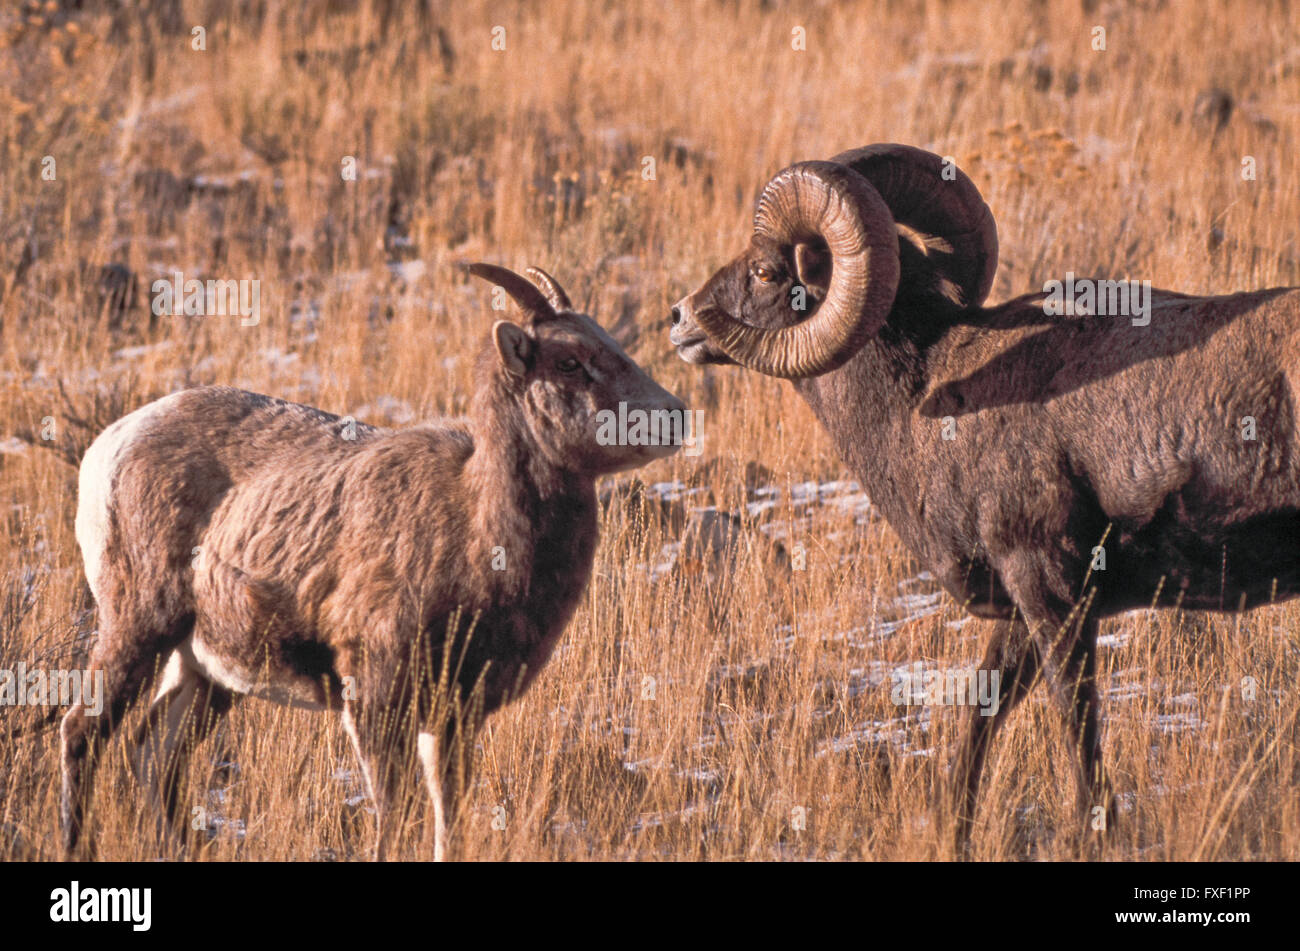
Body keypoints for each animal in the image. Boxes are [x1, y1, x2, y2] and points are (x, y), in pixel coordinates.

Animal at [60, 263, 686, 861]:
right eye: (570, 361)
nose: (674, 416)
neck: (474, 531)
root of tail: (106, 447)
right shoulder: (375, 701)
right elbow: (396, 822)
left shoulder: (455, 718)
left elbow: (448, 823)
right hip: (138, 628)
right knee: (81, 733)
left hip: (207, 669)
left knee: (152, 755)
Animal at [667, 143, 1300, 853]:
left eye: (764, 269)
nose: (681, 319)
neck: (926, 398)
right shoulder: (1020, 611)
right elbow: (982, 714)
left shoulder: (1051, 591)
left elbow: (1076, 725)